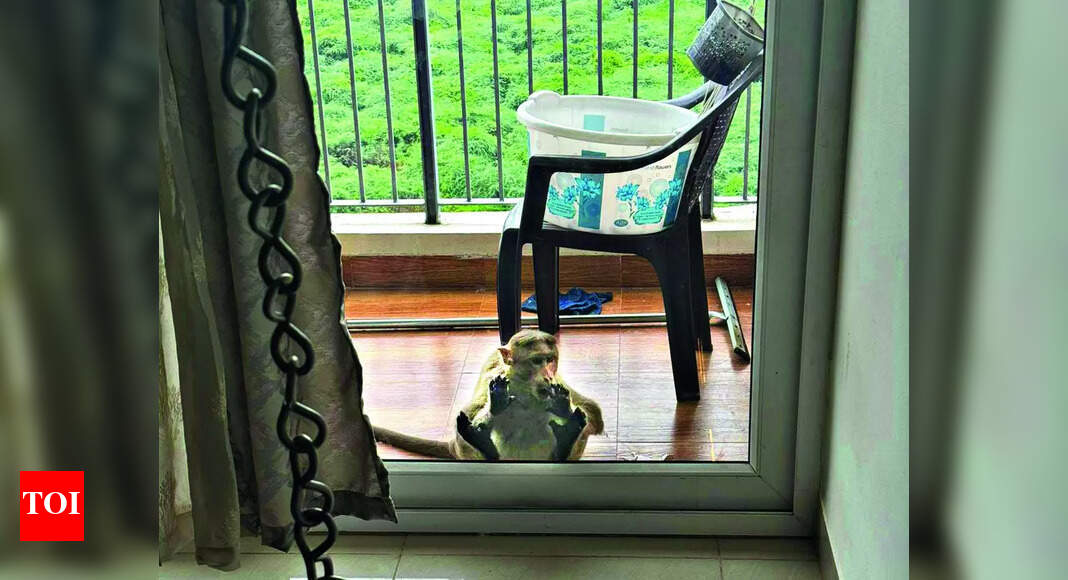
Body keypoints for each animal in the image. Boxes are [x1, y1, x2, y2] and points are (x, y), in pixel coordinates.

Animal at [372, 329, 604, 461]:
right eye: (537, 361)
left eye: (551, 360)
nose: (547, 375)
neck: (527, 393)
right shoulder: (493, 379)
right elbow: (464, 423)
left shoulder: (558, 381)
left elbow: (593, 417)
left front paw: (563, 406)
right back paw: (487, 439)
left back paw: (565, 439)